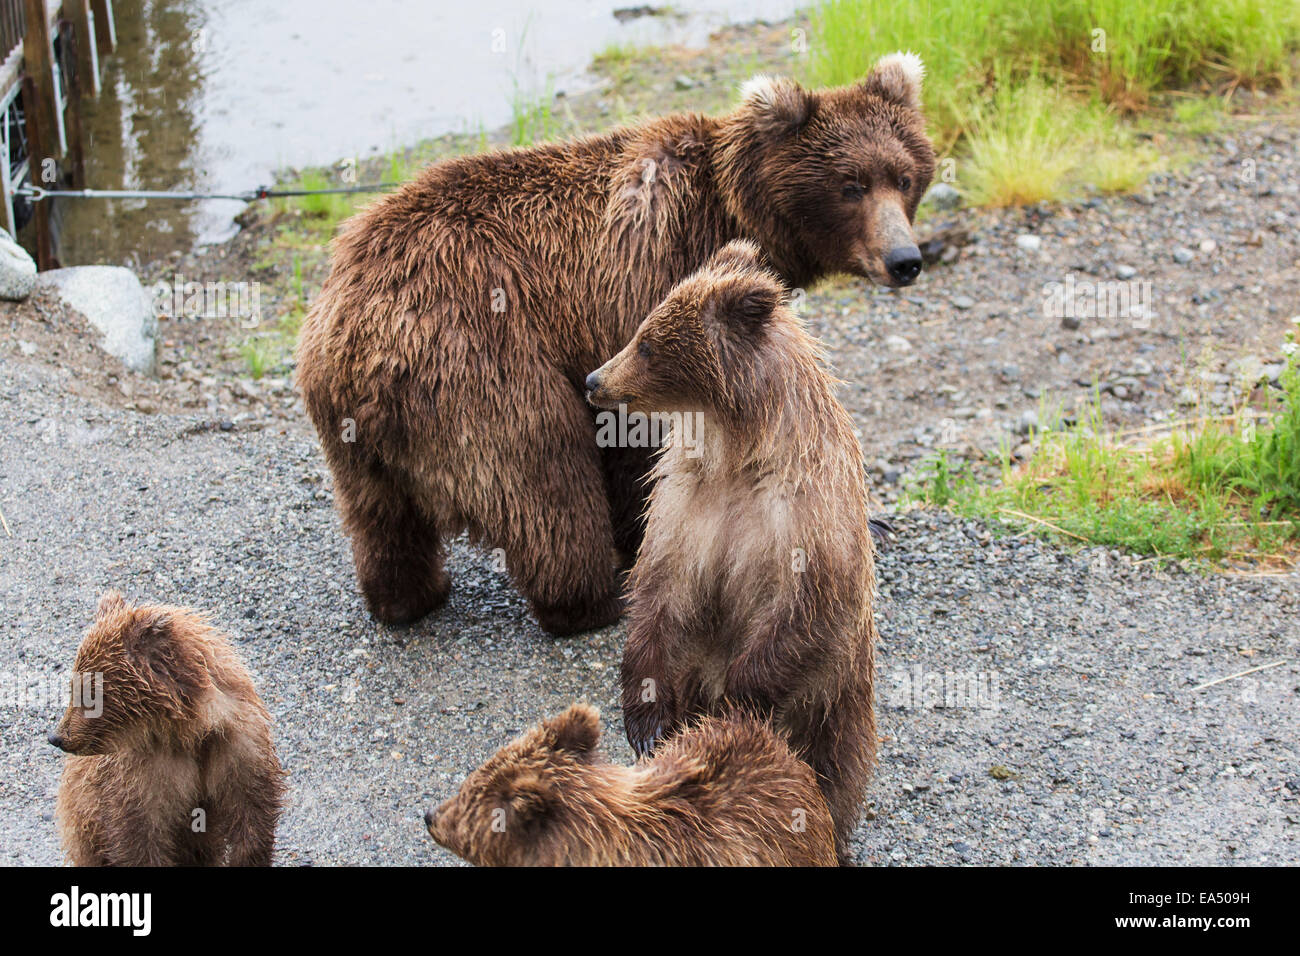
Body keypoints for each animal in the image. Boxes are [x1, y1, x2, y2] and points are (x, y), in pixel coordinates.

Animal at [50, 592, 285, 866]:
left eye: (89, 693)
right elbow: (138, 839)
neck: (191, 732)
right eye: (73, 687)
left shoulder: (240, 749)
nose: (57, 737)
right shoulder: (141, 778)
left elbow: (251, 816)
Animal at [295, 51, 933, 636]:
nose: (905, 259)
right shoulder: (649, 273)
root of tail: (356, 331)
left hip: (349, 429)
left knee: (379, 518)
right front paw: (644, 531)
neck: (737, 212)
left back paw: (407, 597)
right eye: (850, 185)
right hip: (478, 355)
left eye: (903, 177)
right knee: (543, 470)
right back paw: (590, 600)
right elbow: (637, 432)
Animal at [584, 239, 878, 861]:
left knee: (834, 767)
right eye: (642, 328)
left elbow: (805, 615)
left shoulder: (804, 523)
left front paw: (735, 704)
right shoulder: (683, 509)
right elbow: (657, 595)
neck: (736, 451)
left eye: (647, 343)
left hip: (838, 706)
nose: (595, 378)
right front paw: (647, 721)